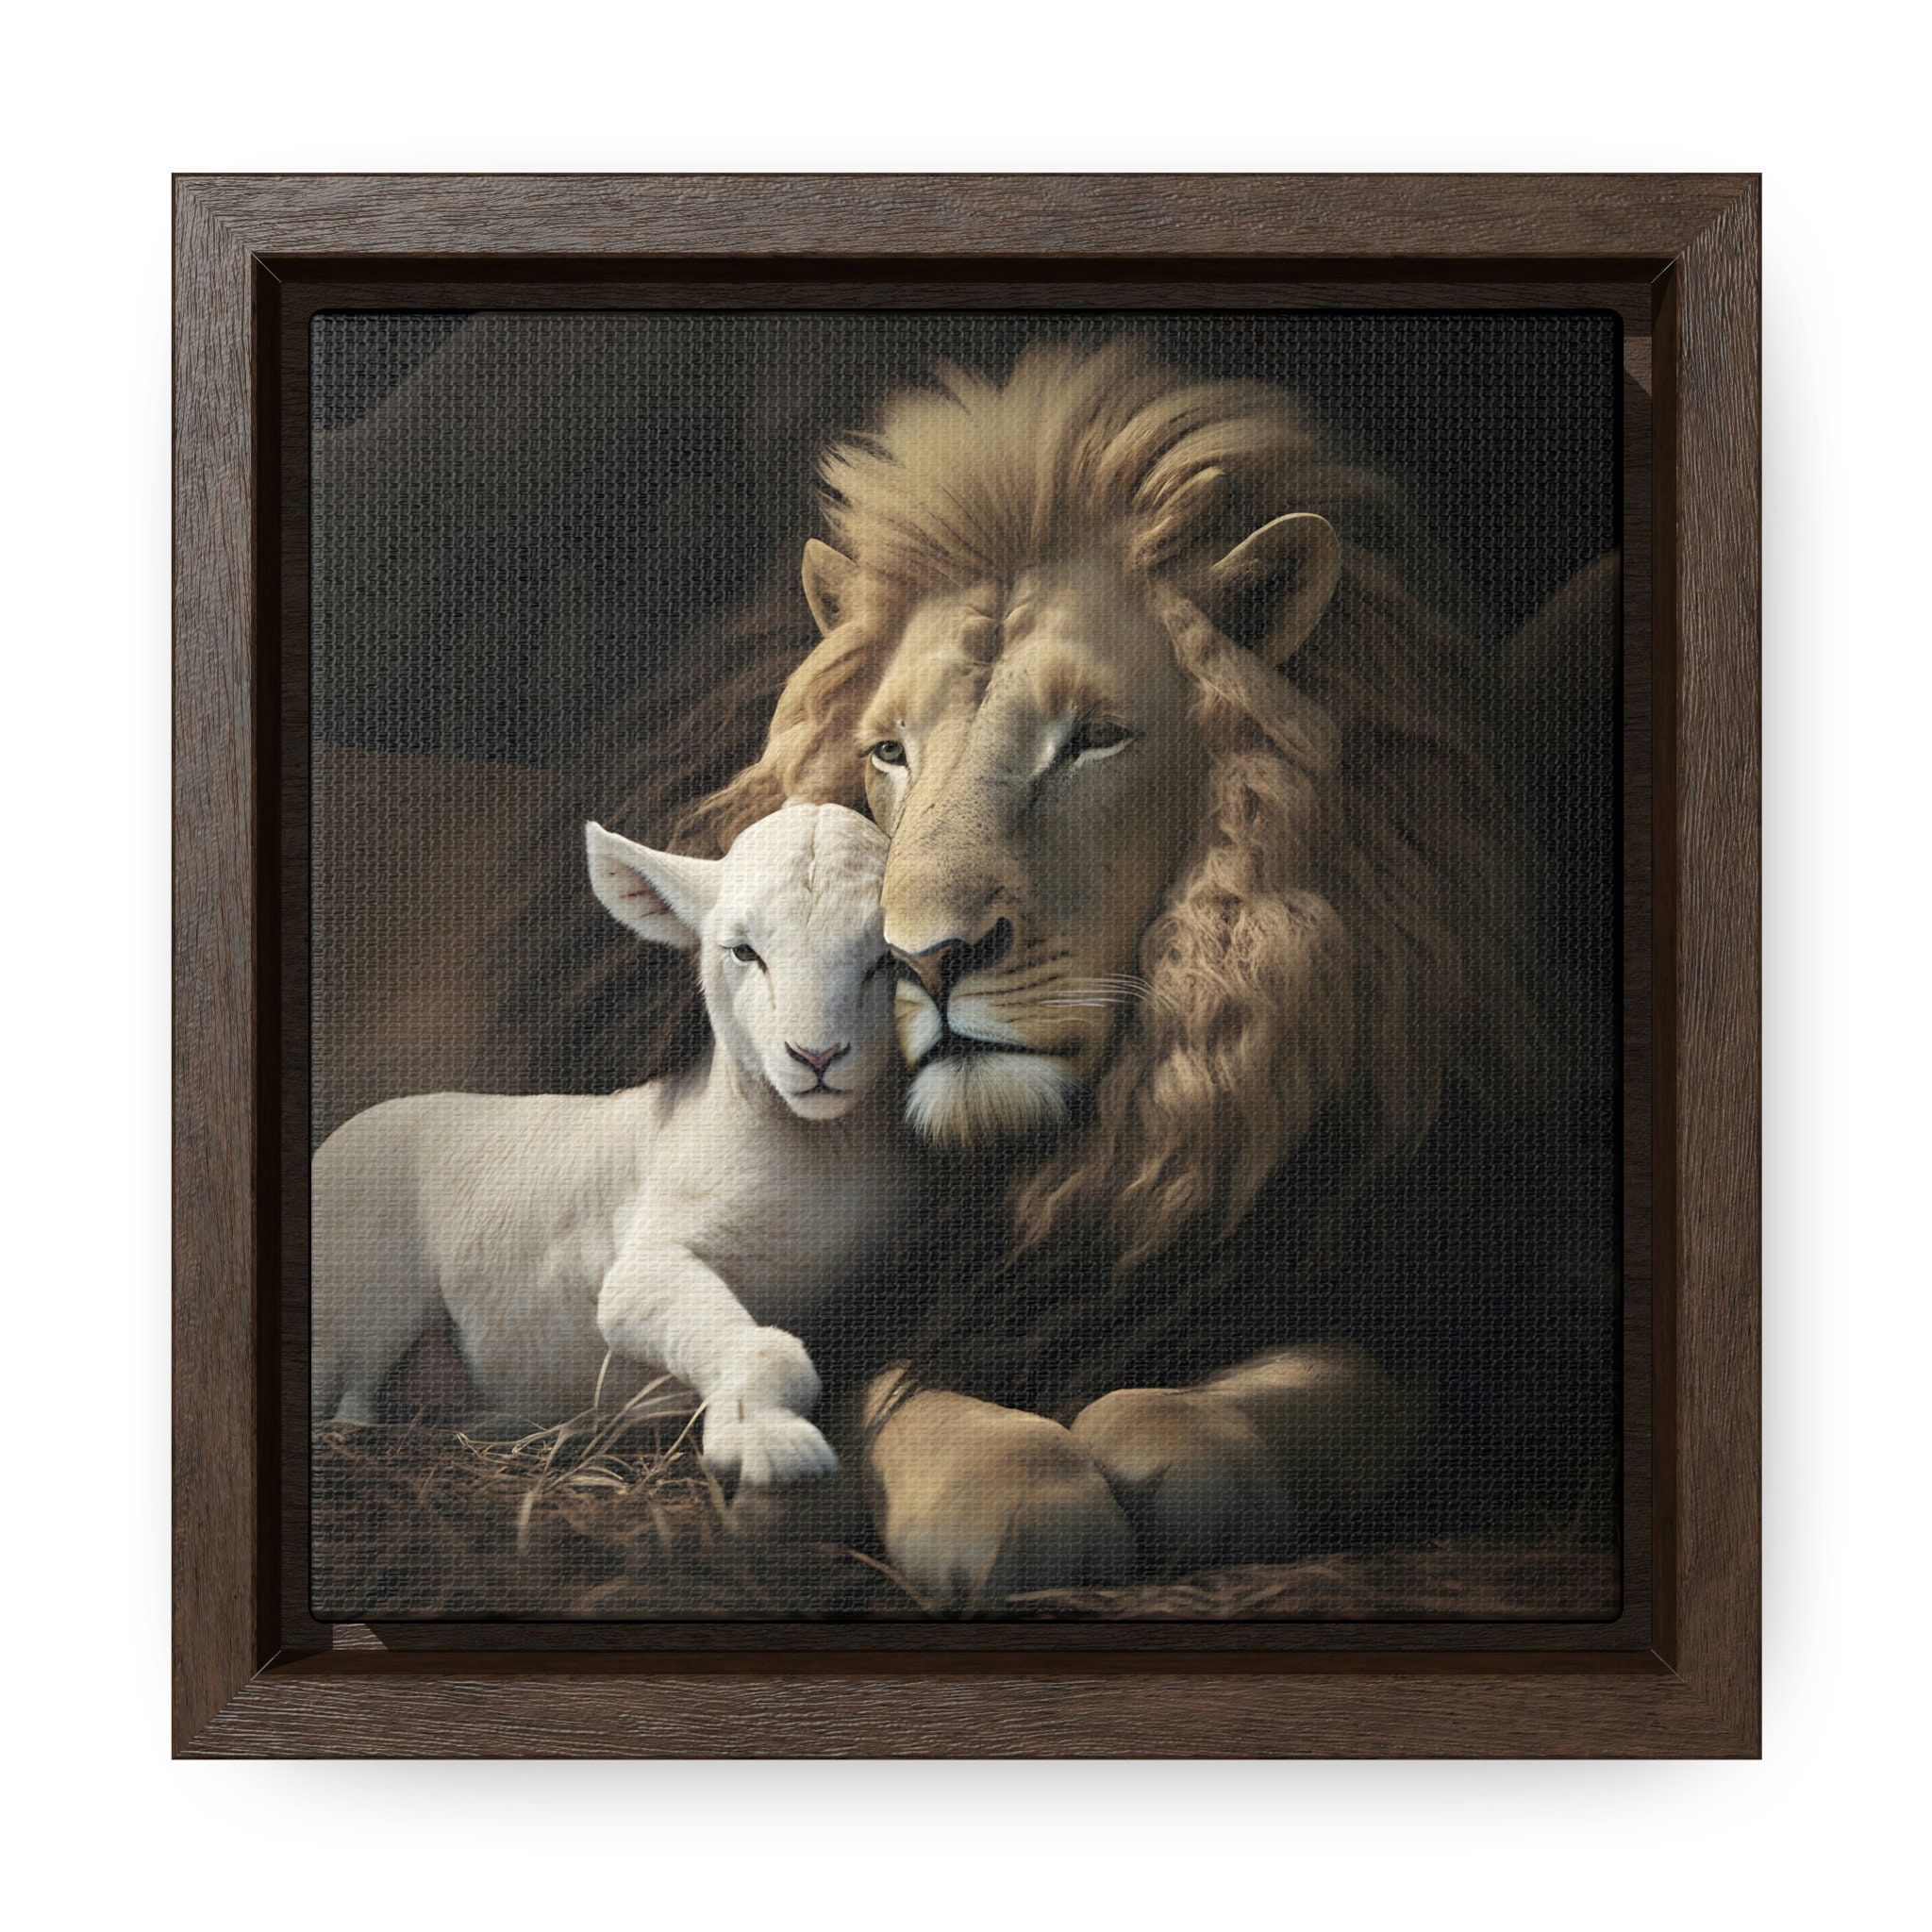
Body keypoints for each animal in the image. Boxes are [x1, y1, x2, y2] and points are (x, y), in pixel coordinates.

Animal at [311, 802, 917, 1485]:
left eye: (888, 960)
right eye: (743, 951)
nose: (816, 1056)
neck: (827, 1146)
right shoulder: (641, 1268)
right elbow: (761, 1352)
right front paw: (769, 1441)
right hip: (363, 1297)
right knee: (348, 1398)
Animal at [619, 338, 1588, 1603]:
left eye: (1089, 740)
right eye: (888, 750)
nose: (921, 956)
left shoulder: (1403, 1286)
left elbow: (1345, 1387)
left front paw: (1168, 1445)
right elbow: (892, 1396)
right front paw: (1008, 1491)